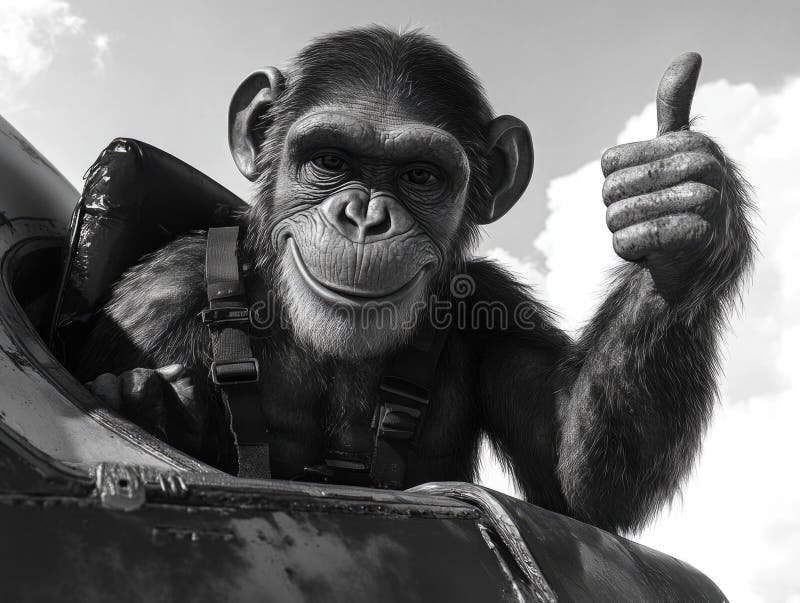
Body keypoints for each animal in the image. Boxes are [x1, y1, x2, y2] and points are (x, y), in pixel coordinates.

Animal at [78, 26, 753, 534]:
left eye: (420, 176)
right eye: (329, 161)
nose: (366, 217)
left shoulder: (496, 306)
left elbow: (579, 477)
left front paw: (678, 218)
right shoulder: (155, 306)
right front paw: (155, 404)